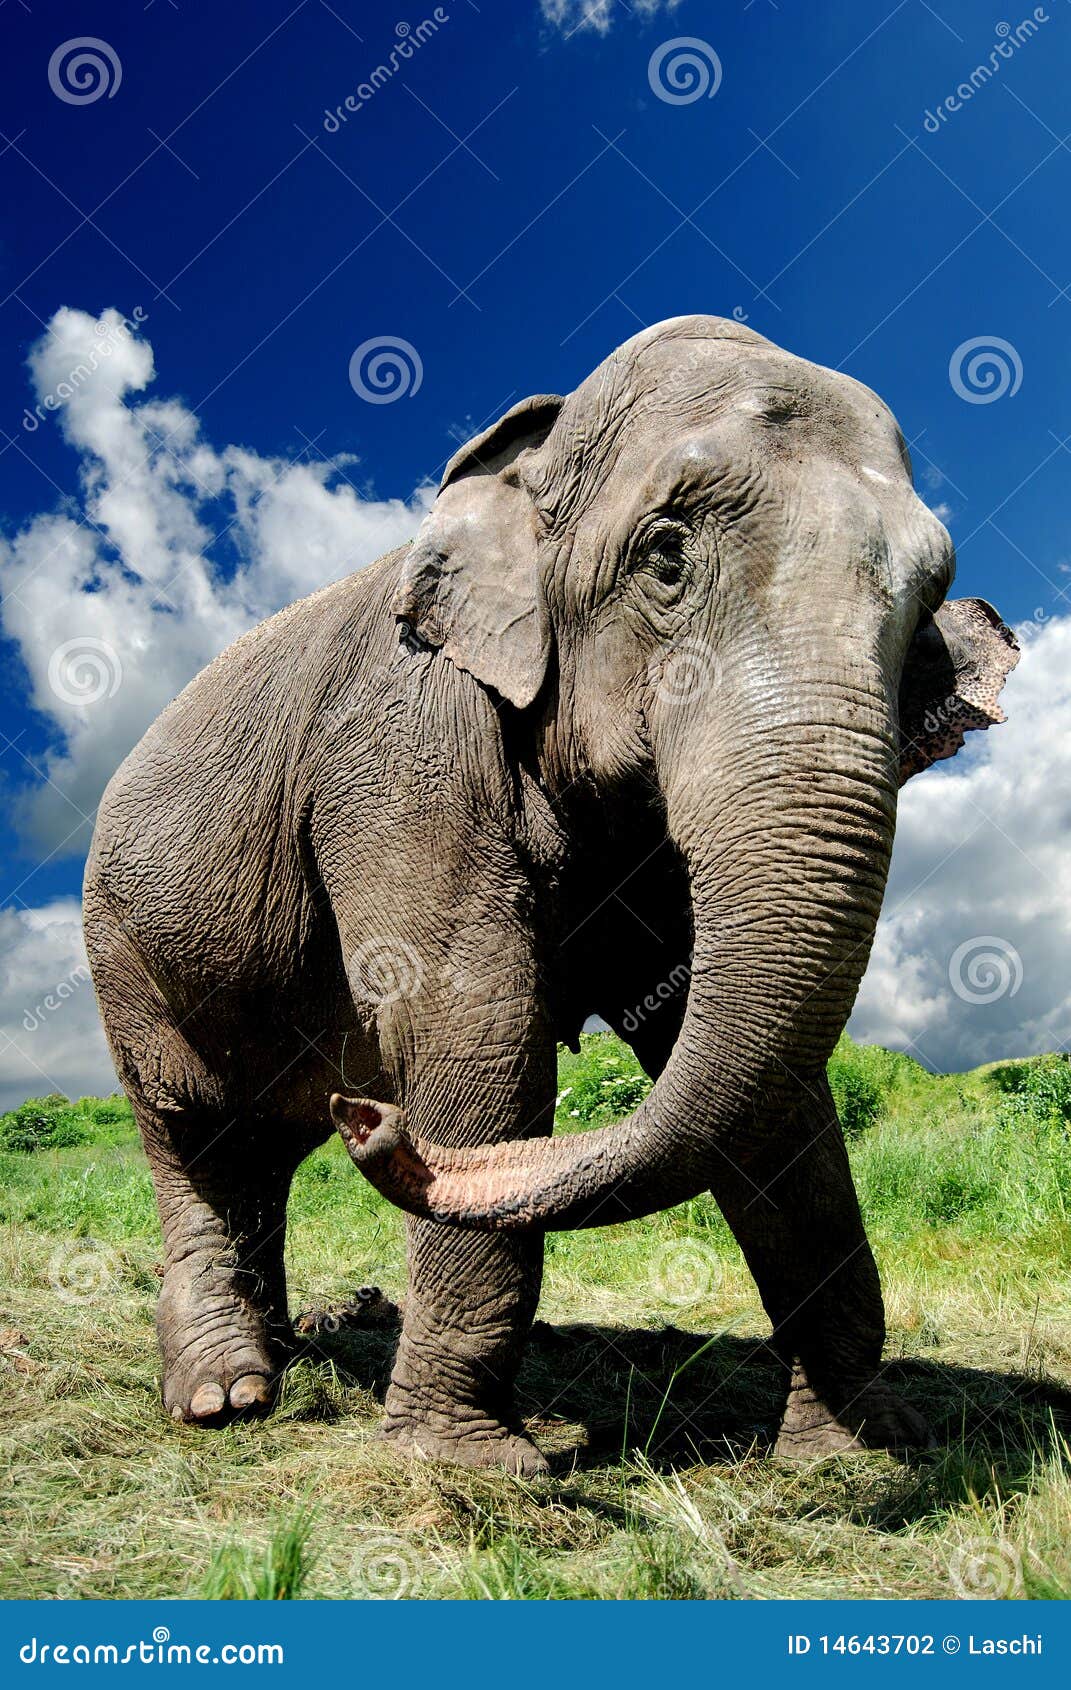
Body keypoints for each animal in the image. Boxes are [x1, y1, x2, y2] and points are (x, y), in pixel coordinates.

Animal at [84, 316, 1018, 1476]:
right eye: (666, 556)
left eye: (930, 601)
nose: (372, 1117)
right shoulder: (401, 757)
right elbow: (476, 1019)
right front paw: (467, 1465)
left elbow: (745, 1065)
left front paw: (858, 1449)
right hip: (122, 950)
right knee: (191, 1131)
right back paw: (226, 1396)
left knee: (260, 1148)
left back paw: (281, 1353)